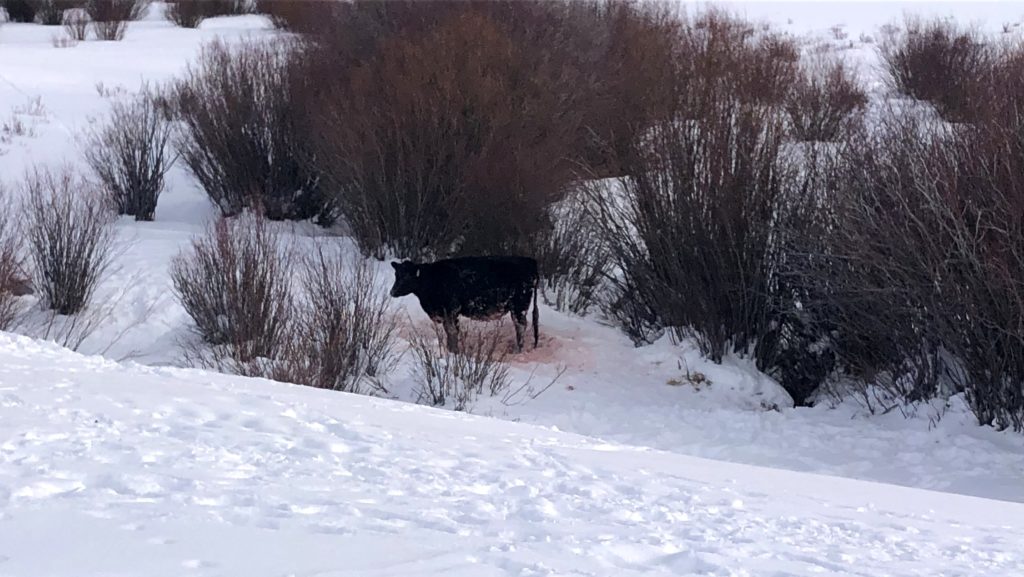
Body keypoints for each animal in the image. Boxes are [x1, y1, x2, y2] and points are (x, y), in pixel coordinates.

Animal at [389, 255, 539, 353]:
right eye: (396, 275)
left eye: (407, 276)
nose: (392, 292)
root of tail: (529, 260)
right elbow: (450, 331)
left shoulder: (451, 309)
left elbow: (452, 331)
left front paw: (454, 352)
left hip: (519, 306)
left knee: (520, 326)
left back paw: (517, 350)